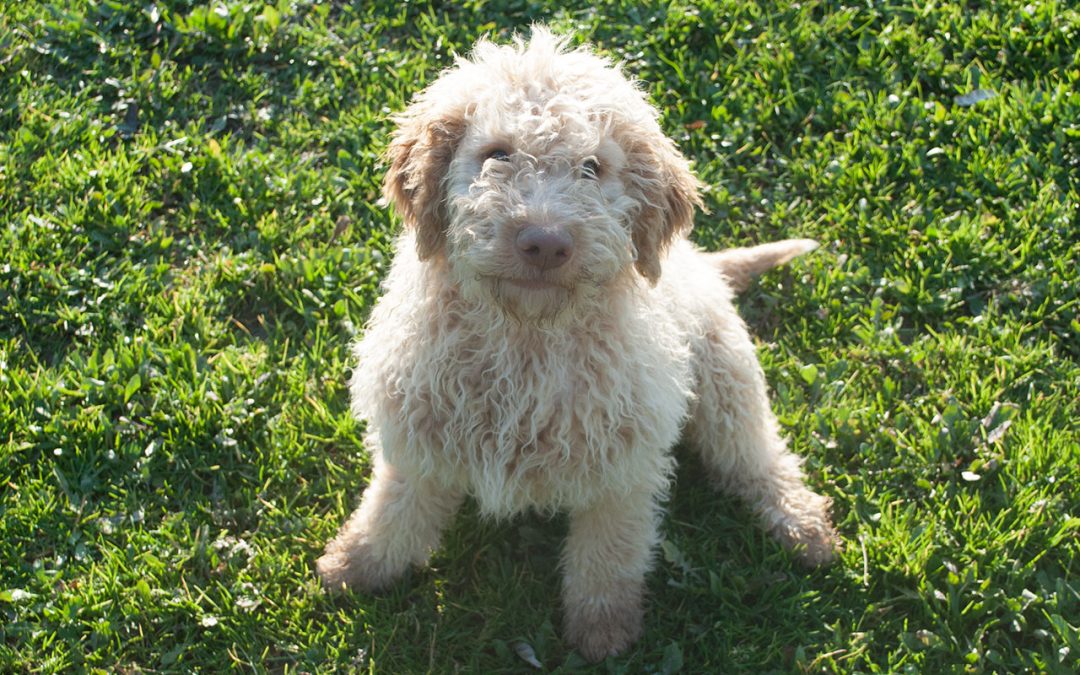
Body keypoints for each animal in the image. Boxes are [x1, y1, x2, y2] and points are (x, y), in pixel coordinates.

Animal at [315, 28, 838, 660]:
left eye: (592, 167)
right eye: (497, 154)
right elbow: (394, 511)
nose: (545, 242)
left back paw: (802, 525)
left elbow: (608, 555)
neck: (526, 340)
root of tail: (703, 265)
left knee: (759, 457)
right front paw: (356, 566)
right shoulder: (419, 440)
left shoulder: (625, 469)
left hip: (727, 385)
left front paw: (604, 632)